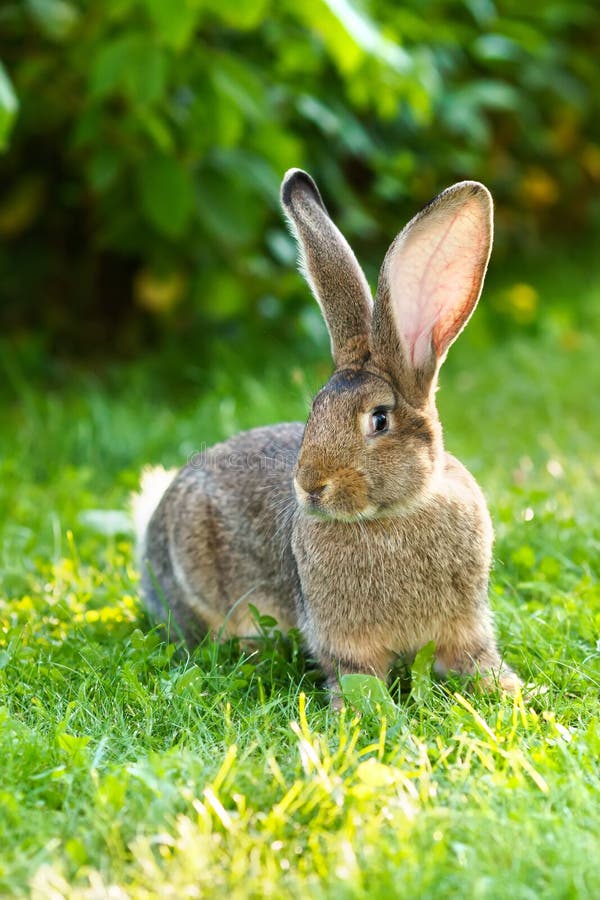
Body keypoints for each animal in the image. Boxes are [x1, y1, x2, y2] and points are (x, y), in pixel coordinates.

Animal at [133, 168, 522, 705]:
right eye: (314, 411)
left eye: (379, 420)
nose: (311, 486)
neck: (393, 513)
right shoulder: (345, 642)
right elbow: (358, 679)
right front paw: (358, 714)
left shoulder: (464, 631)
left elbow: (476, 663)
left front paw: (517, 694)